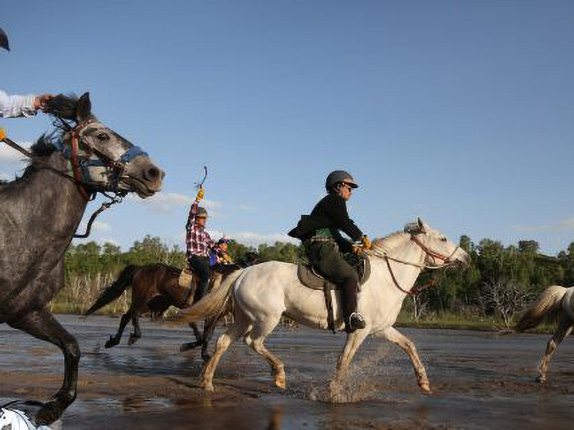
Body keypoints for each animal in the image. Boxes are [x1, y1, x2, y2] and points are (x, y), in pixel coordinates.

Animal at [0, 92, 164, 424]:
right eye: (102, 135)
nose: (154, 173)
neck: (22, 228)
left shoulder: (26, 311)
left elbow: (72, 348)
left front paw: (52, 408)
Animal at [178, 218, 470, 394]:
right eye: (443, 239)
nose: (466, 258)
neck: (388, 277)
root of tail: (243, 273)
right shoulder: (359, 331)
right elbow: (344, 361)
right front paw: (334, 392)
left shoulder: (382, 329)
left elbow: (409, 346)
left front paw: (423, 381)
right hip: (265, 318)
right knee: (254, 342)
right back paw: (278, 374)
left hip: (244, 318)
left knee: (223, 342)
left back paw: (206, 381)